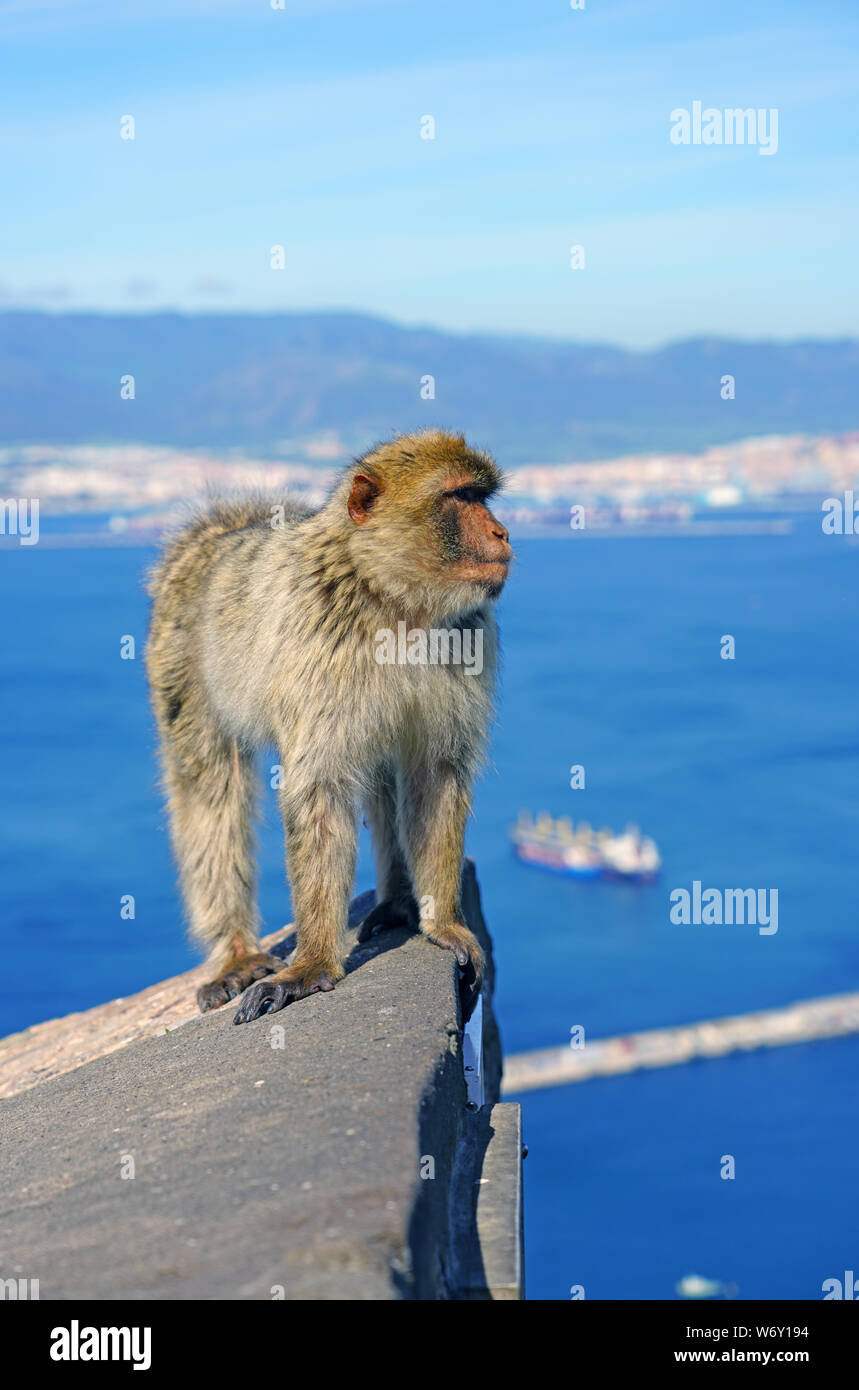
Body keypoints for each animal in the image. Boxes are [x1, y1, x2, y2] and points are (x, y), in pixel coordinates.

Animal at [145, 429, 513, 1024]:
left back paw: (397, 903)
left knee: (383, 771)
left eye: (483, 497)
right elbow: (319, 788)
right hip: (177, 666)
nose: (502, 532)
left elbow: (436, 772)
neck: (394, 601)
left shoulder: (469, 636)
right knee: (209, 785)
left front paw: (441, 924)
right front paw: (314, 960)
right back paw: (235, 953)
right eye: (458, 498)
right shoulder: (317, 640)